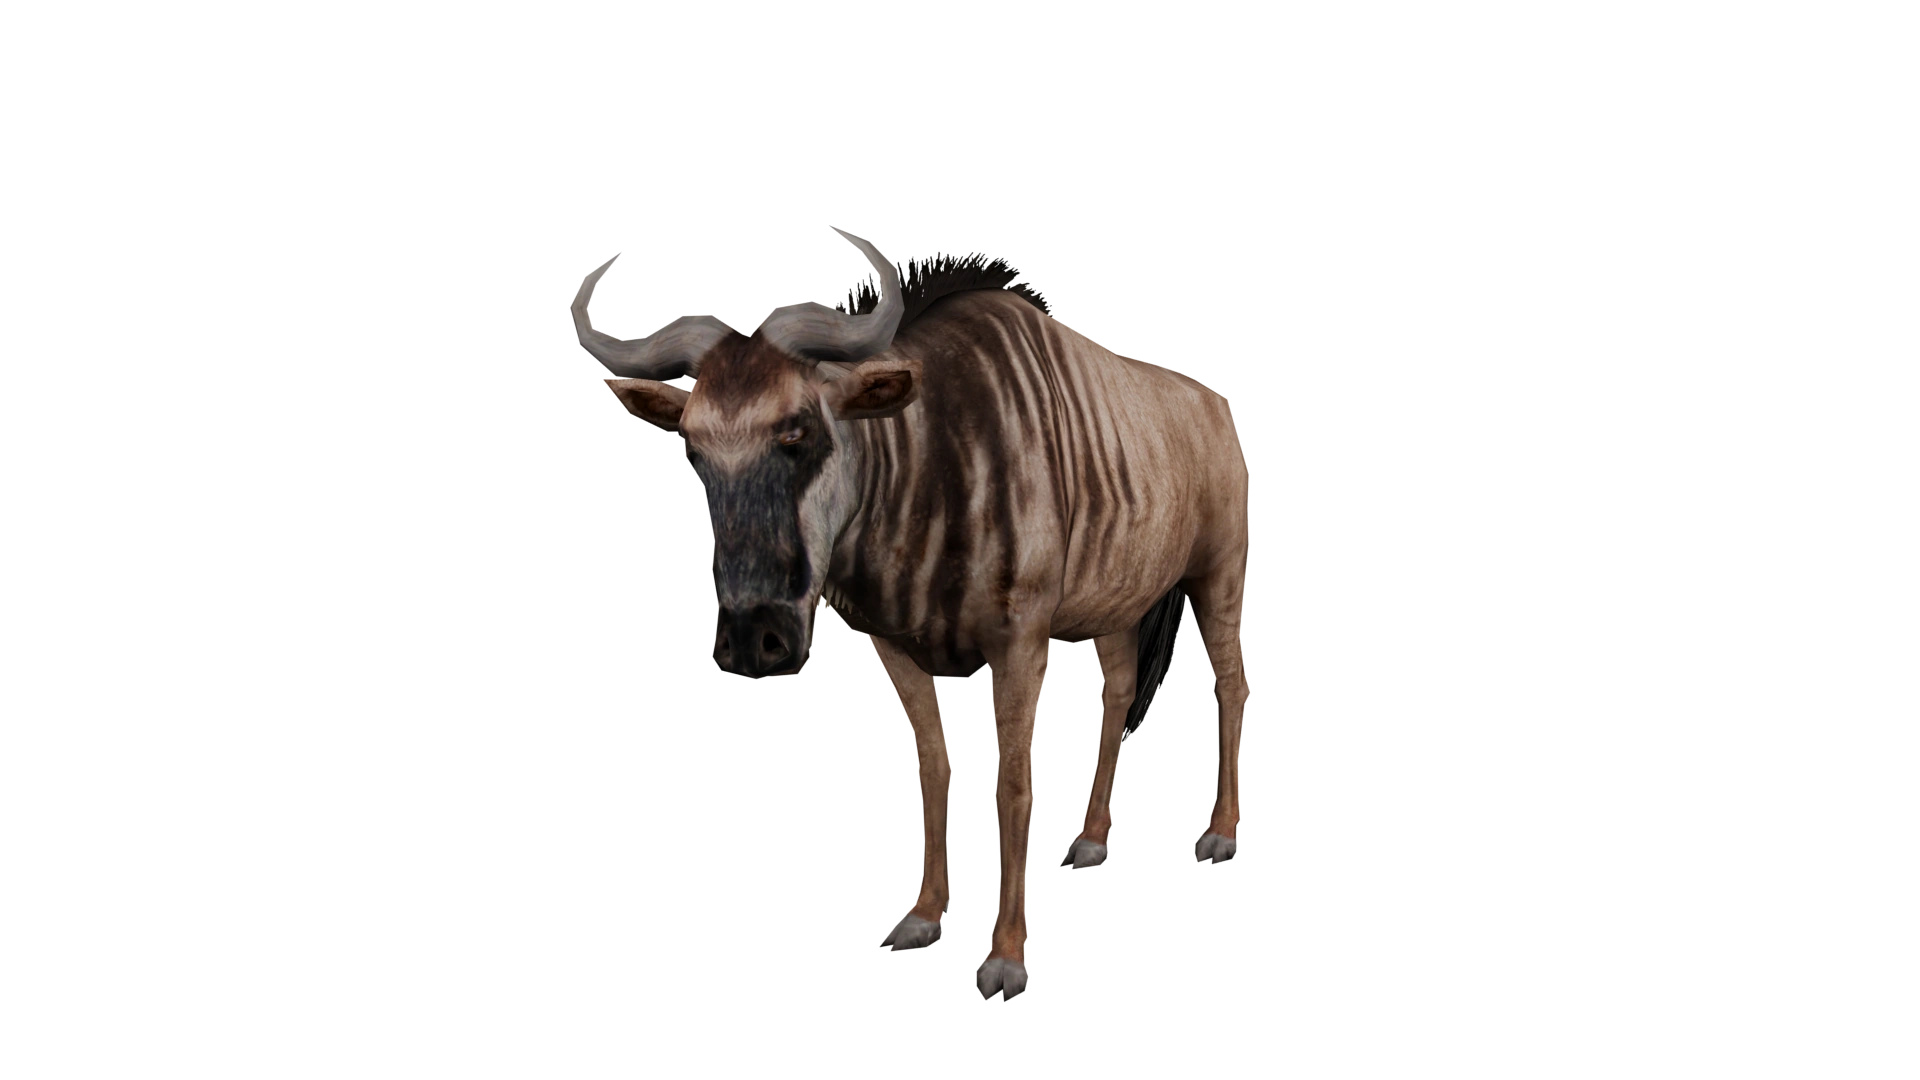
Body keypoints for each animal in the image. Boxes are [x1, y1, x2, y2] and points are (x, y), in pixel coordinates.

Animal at [569, 227, 1250, 1002]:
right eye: (694, 448)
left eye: (800, 430)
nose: (750, 639)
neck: (927, 467)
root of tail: (1212, 404)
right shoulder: (894, 650)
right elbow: (936, 766)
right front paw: (924, 917)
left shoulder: (1021, 646)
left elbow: (1010, 783)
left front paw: (1006, 958)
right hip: (1115, 605)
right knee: (1119, 689)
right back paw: (1092, 840)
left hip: (1221, 577)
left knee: (1231, 685)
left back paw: (1221, 833)